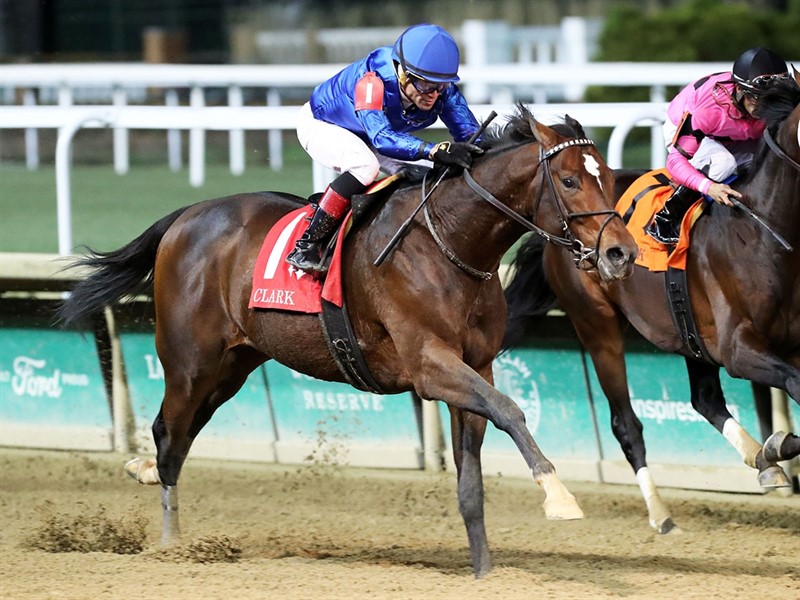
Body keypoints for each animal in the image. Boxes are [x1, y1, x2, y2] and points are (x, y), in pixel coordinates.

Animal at [56, 105, 638, 578]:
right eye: (568, 180)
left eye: (608, 177)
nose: (621, 253)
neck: (448, 241)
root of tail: (186, 216)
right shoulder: (430, 366)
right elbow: (511, 410)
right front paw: (559, 496)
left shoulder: (476, 365)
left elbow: (474, 468)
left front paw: (485, 572)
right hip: (189, 363)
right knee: (170, 437)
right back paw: (172, 544)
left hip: (232, 368)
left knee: (176, 437)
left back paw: (147, 482)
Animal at [504, 74, 800, 535]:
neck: (768, 234)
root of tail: (556, 230)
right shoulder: (739, 350)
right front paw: (778, 446)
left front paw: (774, 450)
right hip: (599, 327)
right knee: (626, 423)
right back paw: (661, 512)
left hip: (689, 333)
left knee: (705, 400)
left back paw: (762, 460)